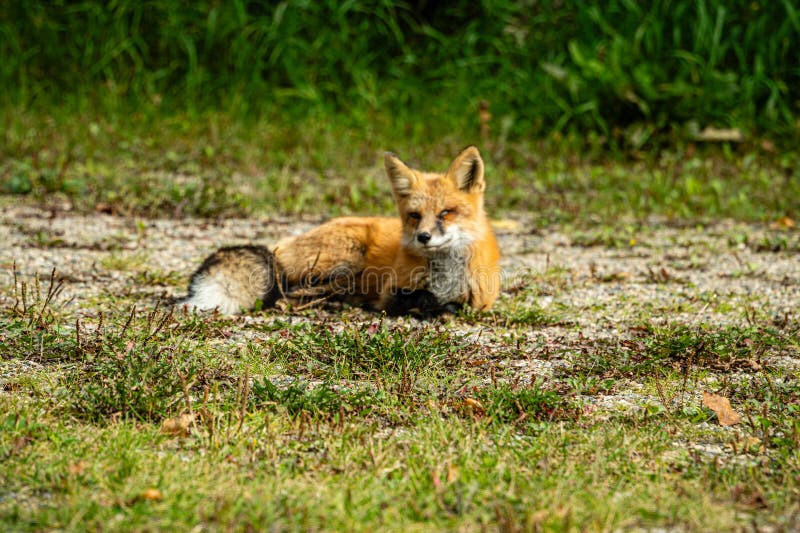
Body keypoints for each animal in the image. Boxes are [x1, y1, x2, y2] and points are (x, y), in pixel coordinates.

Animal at [183, 146, 501, 316]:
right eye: (415, 215)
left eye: (446, 213)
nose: (424, 237)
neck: (446, 274)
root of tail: (278, 247)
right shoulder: (391, 293)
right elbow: (425, 299)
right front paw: (434, 307)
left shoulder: (480, 301)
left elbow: (452, 303)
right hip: (347, 260)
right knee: (288, 295)